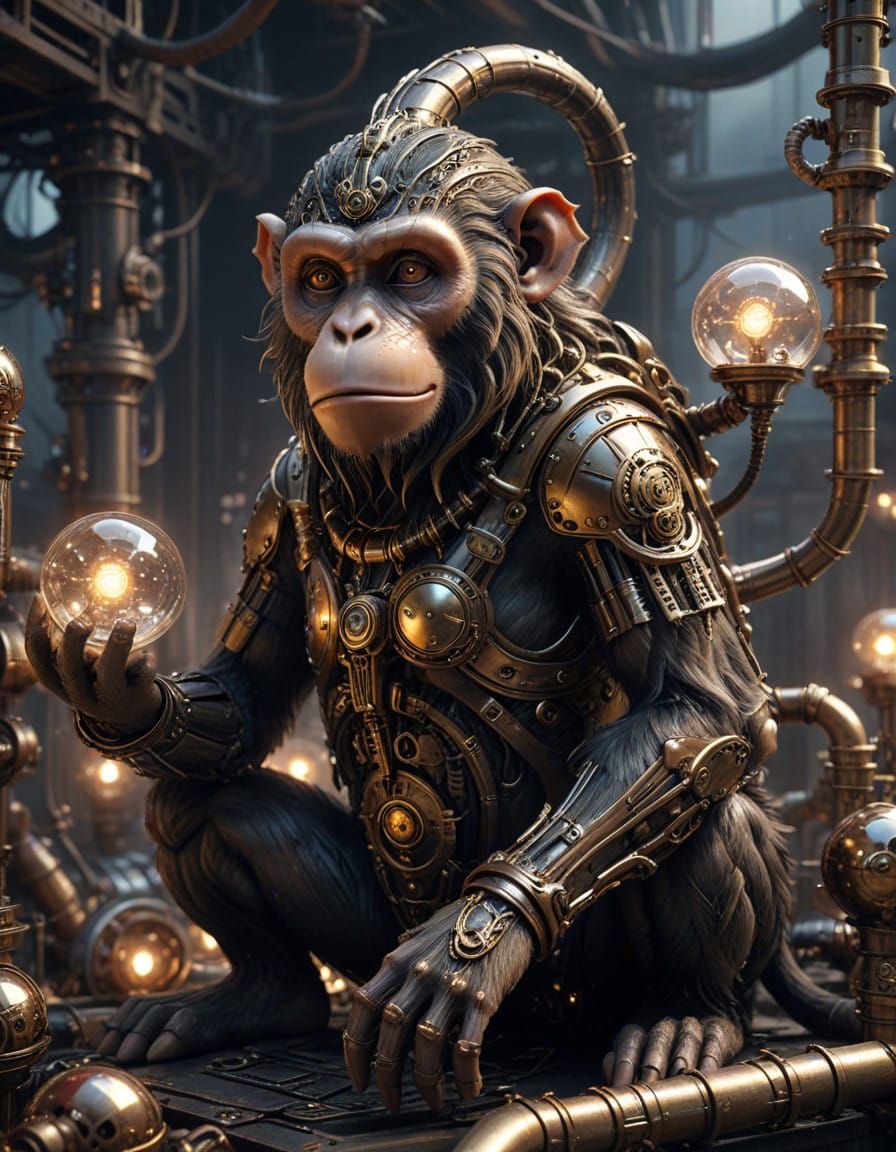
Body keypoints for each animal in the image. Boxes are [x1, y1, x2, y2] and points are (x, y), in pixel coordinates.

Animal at [26, 46, 857, 1114]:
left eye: (412, 271)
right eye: (321, 277)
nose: (349, 329)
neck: (436, 458)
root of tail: (538, 1028)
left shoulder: (621, 462)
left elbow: (706, 709)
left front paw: (463, 956)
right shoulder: (279, 487)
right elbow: (242, 701)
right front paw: (115, 687)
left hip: (575, 981)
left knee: (709, 788)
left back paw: (685, 1020)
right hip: (366, 928)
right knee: (191, 797)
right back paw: (253, 999)